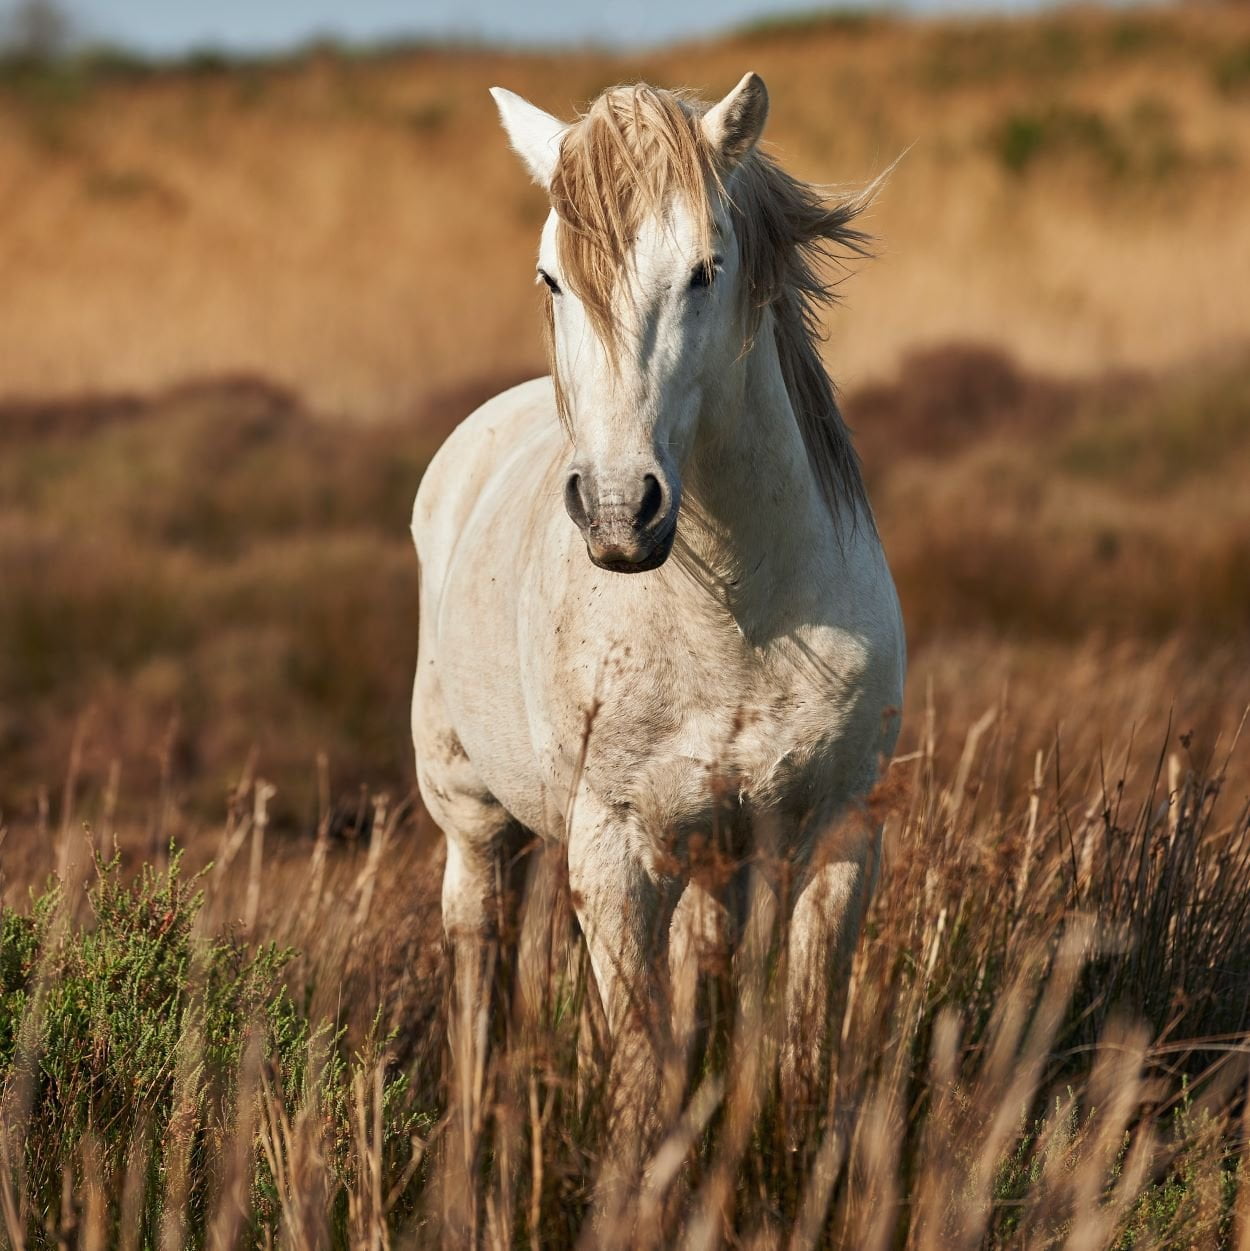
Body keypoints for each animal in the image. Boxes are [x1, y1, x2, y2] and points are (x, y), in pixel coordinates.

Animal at [411, 71, 905, 1180]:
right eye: (551, 278)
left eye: (705, 271)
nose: (614, 510)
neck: (738, 624)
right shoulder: (611, 850)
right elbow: (638, 1076)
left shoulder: (835, 836)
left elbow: (800, 1048)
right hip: (473, 816)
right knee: (478, 956)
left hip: (711, 858)